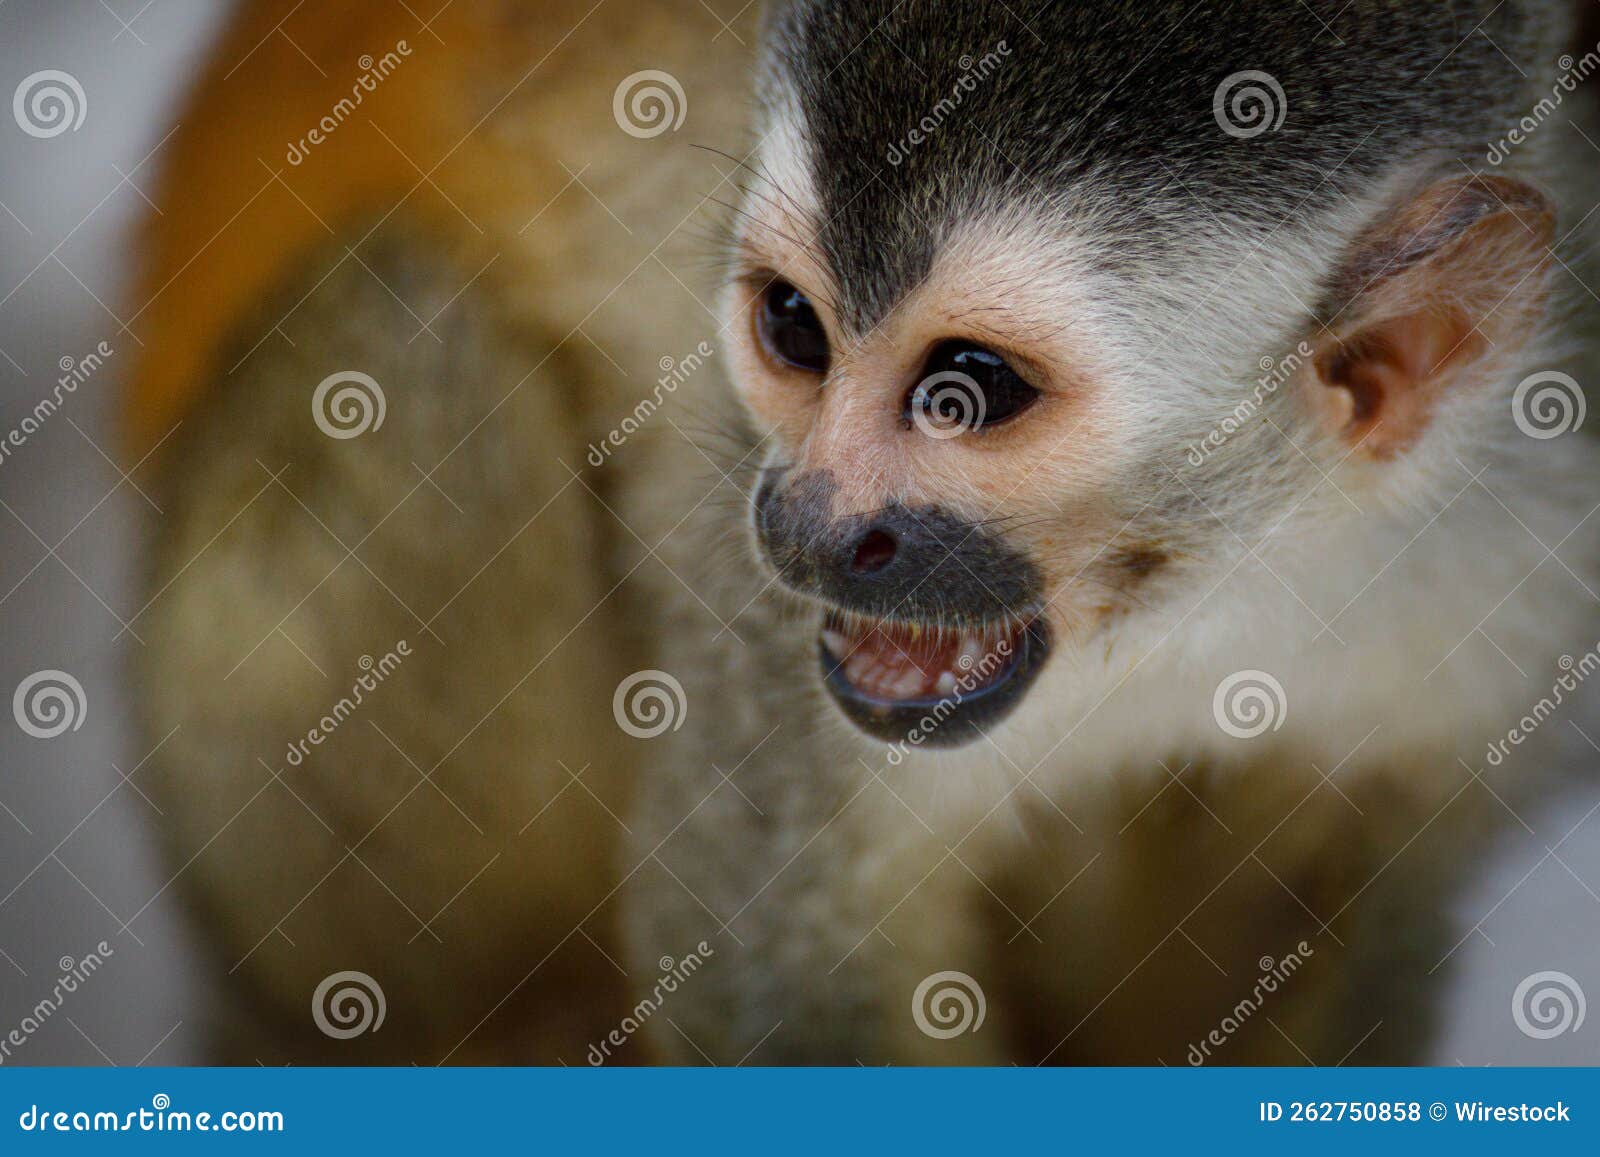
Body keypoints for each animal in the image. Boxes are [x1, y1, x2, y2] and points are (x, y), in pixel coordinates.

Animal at [127, 0, 1599, 1065]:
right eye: (793, 325)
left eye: (970, 388)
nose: (803, 522)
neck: (1228, 575)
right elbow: (764, 945)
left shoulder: (1548, 549)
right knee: (394, 321)